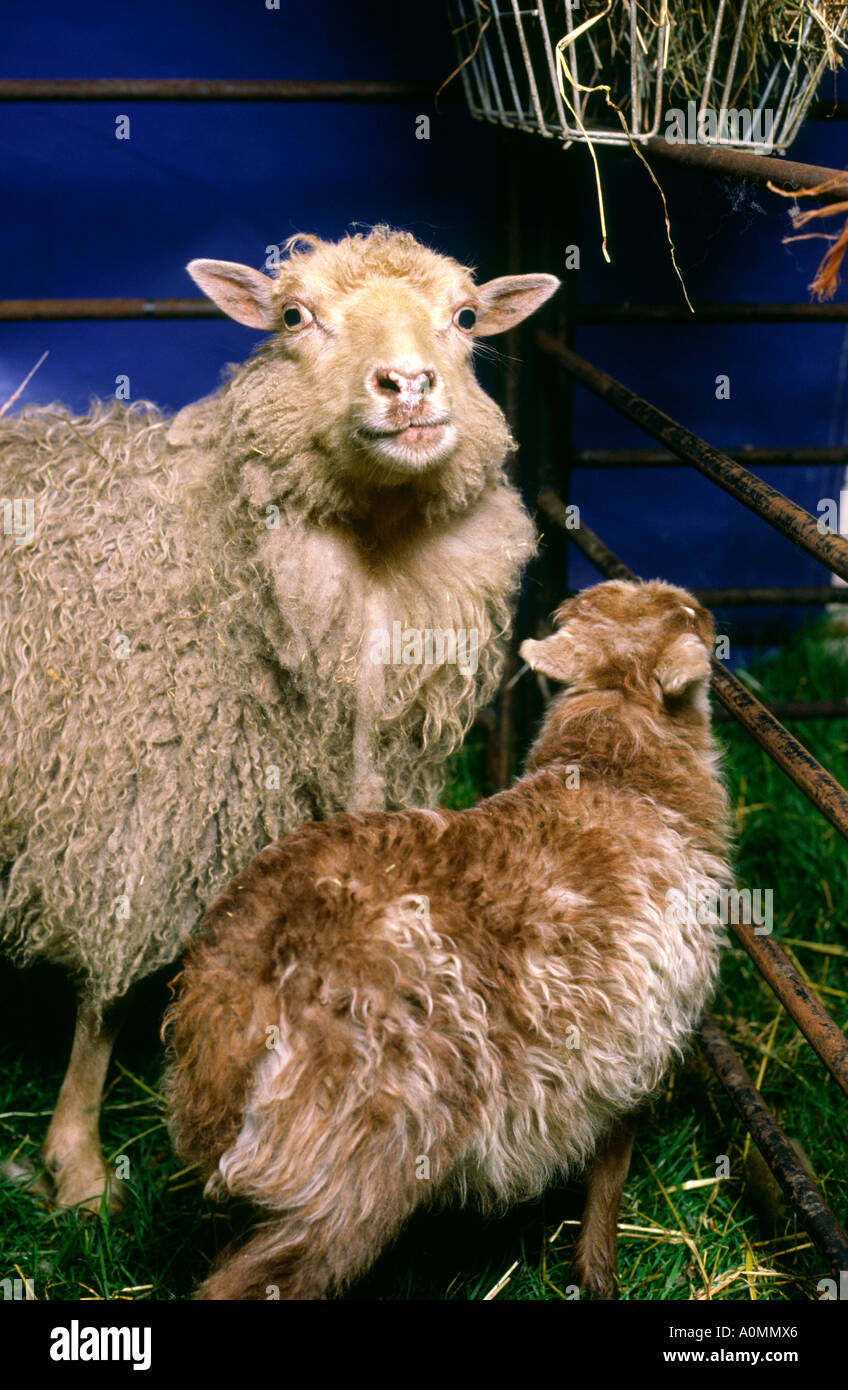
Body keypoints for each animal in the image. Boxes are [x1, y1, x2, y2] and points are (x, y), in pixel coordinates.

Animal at [0, 226, 558, 1213]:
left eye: (465, 316)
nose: (409, 384)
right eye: (294, 315)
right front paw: (79, 1167)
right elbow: (103, 994)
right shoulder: (125, 807)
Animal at [163, 578, 733, 1300]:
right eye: (686, 618)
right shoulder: (637, 1045)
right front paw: (598, 1271)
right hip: (348, 1174)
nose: (706, 609)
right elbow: (611, 1165)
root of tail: (234, 996)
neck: (619, 772)